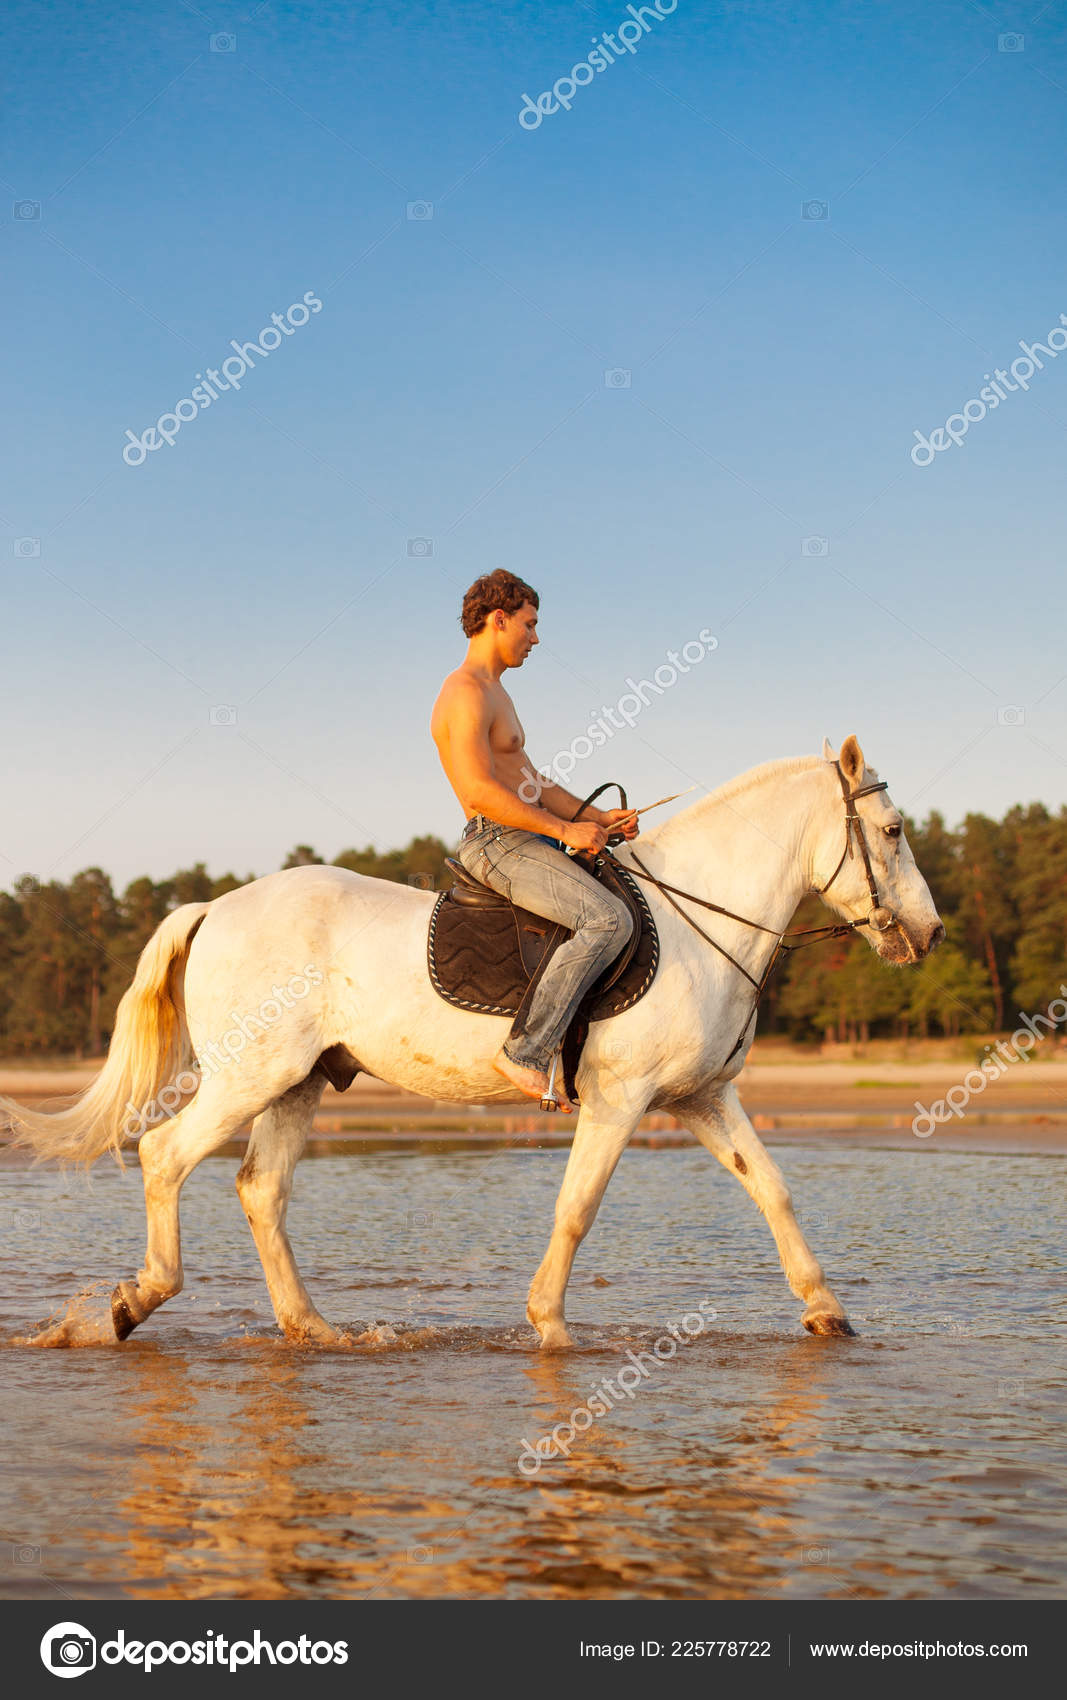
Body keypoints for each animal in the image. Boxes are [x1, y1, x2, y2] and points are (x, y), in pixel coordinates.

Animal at [2, 735, 943, 1350]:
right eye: (894, 831)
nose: (929, 934)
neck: (695, 919)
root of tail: (215, 906)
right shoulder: (620, 1101)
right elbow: (577, 1208)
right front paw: (551, 1327)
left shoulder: (701, 1098)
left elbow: (773, 1191)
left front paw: (826, 1312)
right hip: (250, 1076)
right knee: (164, 1155)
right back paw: (134, 1303)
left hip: (298, 1083)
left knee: (260, 1189)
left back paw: (314, 1328)